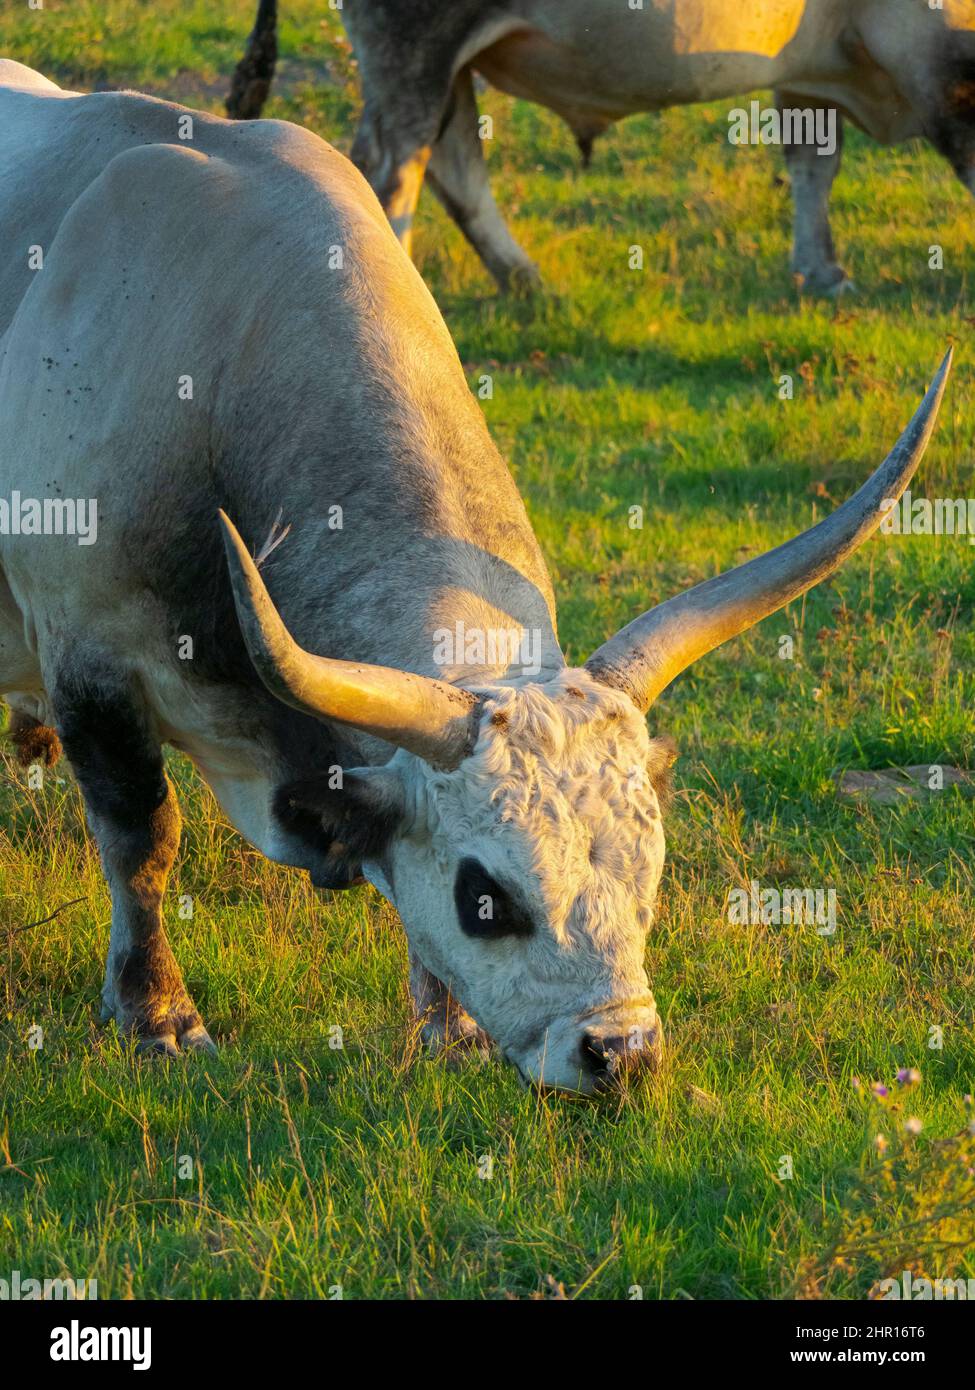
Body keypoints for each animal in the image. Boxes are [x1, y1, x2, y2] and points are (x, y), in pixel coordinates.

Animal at [0, 60, 950, 1094]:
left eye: (649, 876)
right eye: (486, 897)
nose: (620, 1053)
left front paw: (446, 1031)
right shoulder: (93, 664)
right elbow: (143, 841)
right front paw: (157, 1017)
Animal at [228, 0, 975, 295]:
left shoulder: (805, 68)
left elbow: (814, 164)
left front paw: (820, 270)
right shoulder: (944, 59)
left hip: (444, 68)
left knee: (454, 164)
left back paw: (524, 280)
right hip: (412, 48)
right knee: (390, 175)